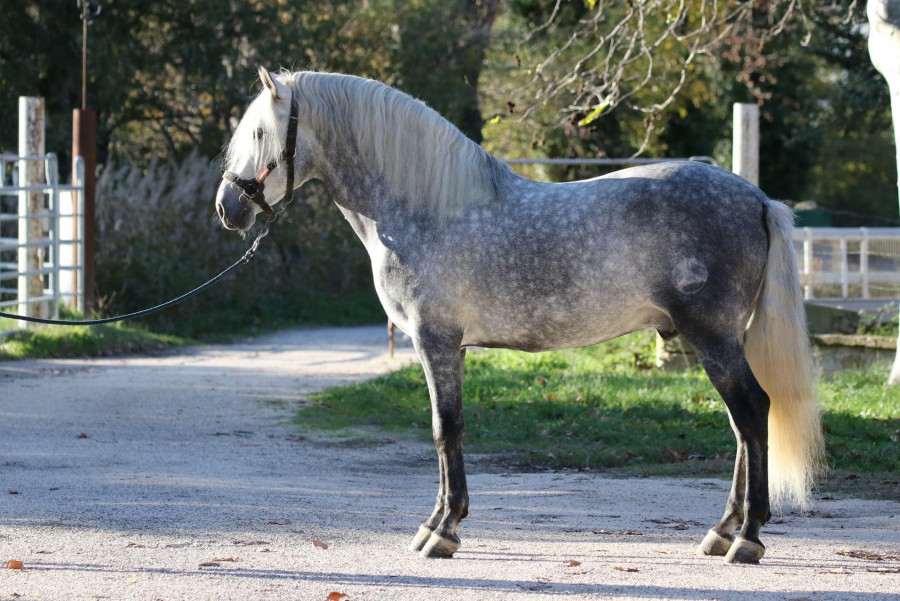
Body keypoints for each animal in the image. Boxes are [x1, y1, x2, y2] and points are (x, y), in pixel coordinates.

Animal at [216, 67, 824, 565]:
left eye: (260, 134)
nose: (228, 208)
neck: (426, 207)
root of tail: (757, 199)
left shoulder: (435, 341)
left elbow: (445, 429)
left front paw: (444, 533)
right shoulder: (447, 347)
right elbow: (448, 429)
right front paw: (435, 523)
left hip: (713, 337)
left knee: (752, 413)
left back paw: (747, 539)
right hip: (720, 340)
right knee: (742, 426)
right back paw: (721, 532)